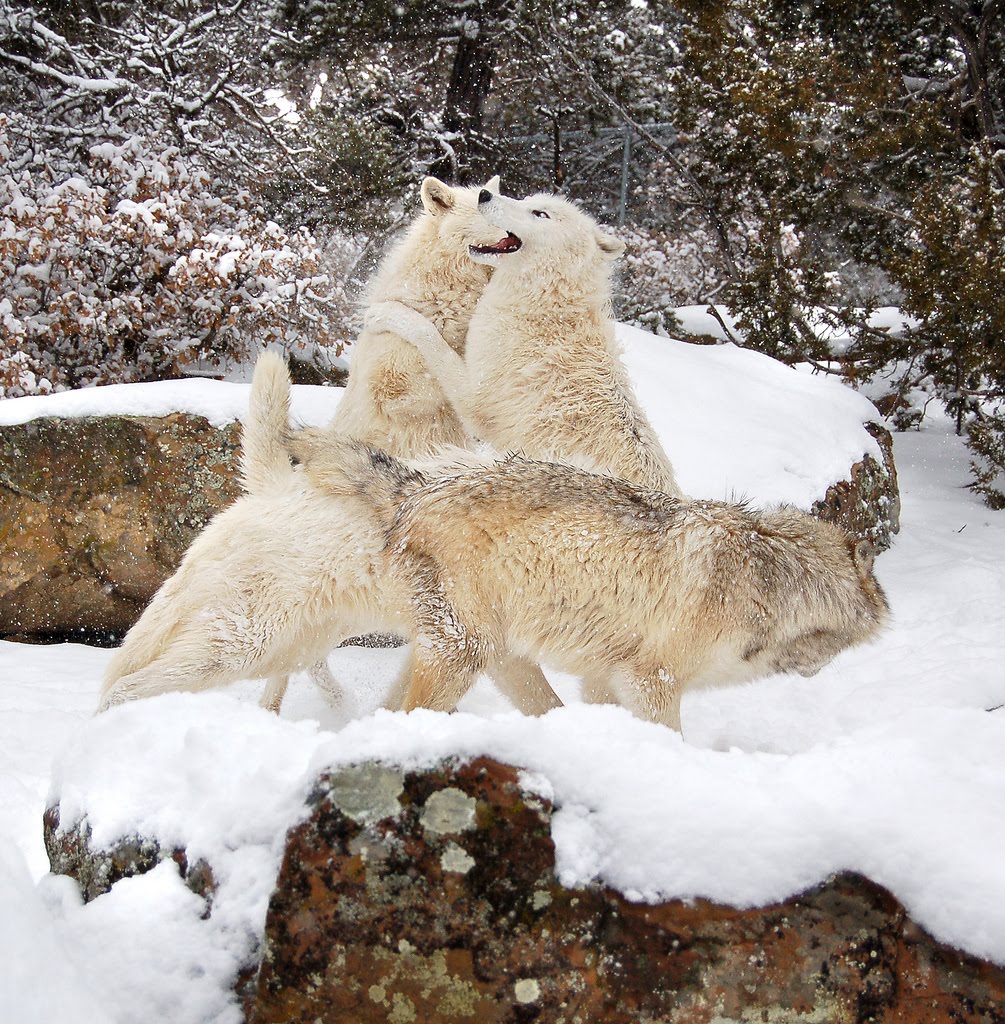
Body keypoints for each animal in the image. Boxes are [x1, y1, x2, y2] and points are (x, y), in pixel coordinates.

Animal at [291, 437, 889, 733]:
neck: (777, 580)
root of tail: (419, 482)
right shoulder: (651, 679)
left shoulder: (605, 678)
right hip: (466, 656)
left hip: (493, 659)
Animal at [364, 188, 682, 495]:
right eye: (527, 199)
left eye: (540, 213)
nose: (484, 194)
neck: (547, 301)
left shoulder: (473, 398)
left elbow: (427, 333)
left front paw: (382, 313)